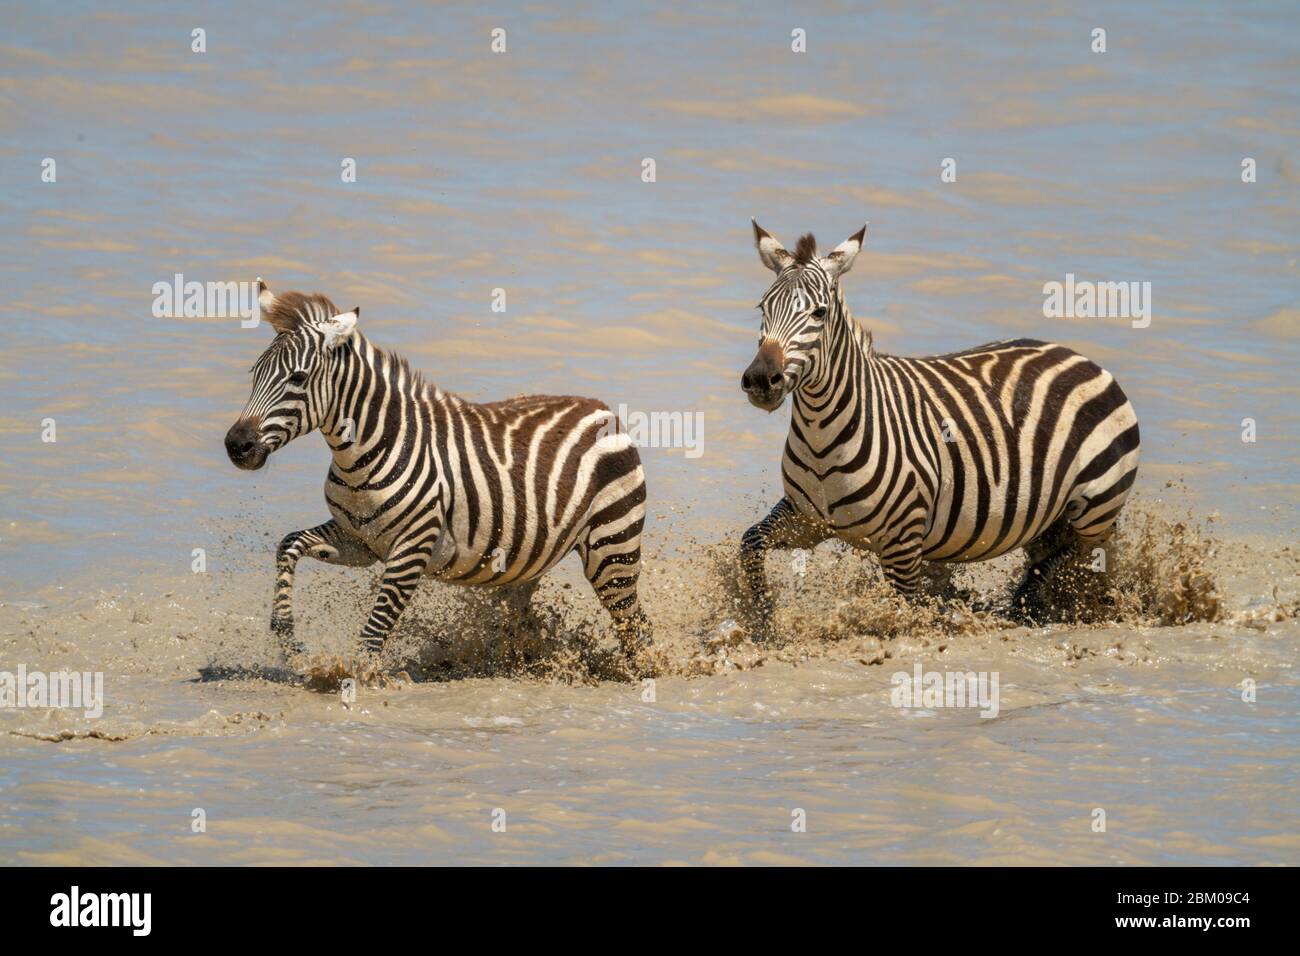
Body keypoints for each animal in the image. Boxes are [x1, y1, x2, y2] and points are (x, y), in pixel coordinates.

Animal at [224, 282, 651, 665]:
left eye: (297, 378)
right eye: (254, 373)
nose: (236, 445)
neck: (363, 455)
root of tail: (601, 408)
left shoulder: (411, 548)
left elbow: (375, 629)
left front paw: (355, 677)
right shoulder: (359, 541)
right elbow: (288, 544)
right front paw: (286, 634)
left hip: (612, 549)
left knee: (635, 625)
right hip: (528, 558)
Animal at [739, 222, 1141, 629]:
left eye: (819, 313)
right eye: (762, 307)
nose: (761, 379)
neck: (822, 439)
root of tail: (1079, 357)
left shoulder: (903, 542)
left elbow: (902, 609)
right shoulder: (807, 518)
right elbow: (750, 544)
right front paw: (760, 616)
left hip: (1096, 506)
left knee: (1081, 554)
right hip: (1050, 514)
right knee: (1053, 554)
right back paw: (1028, 604)